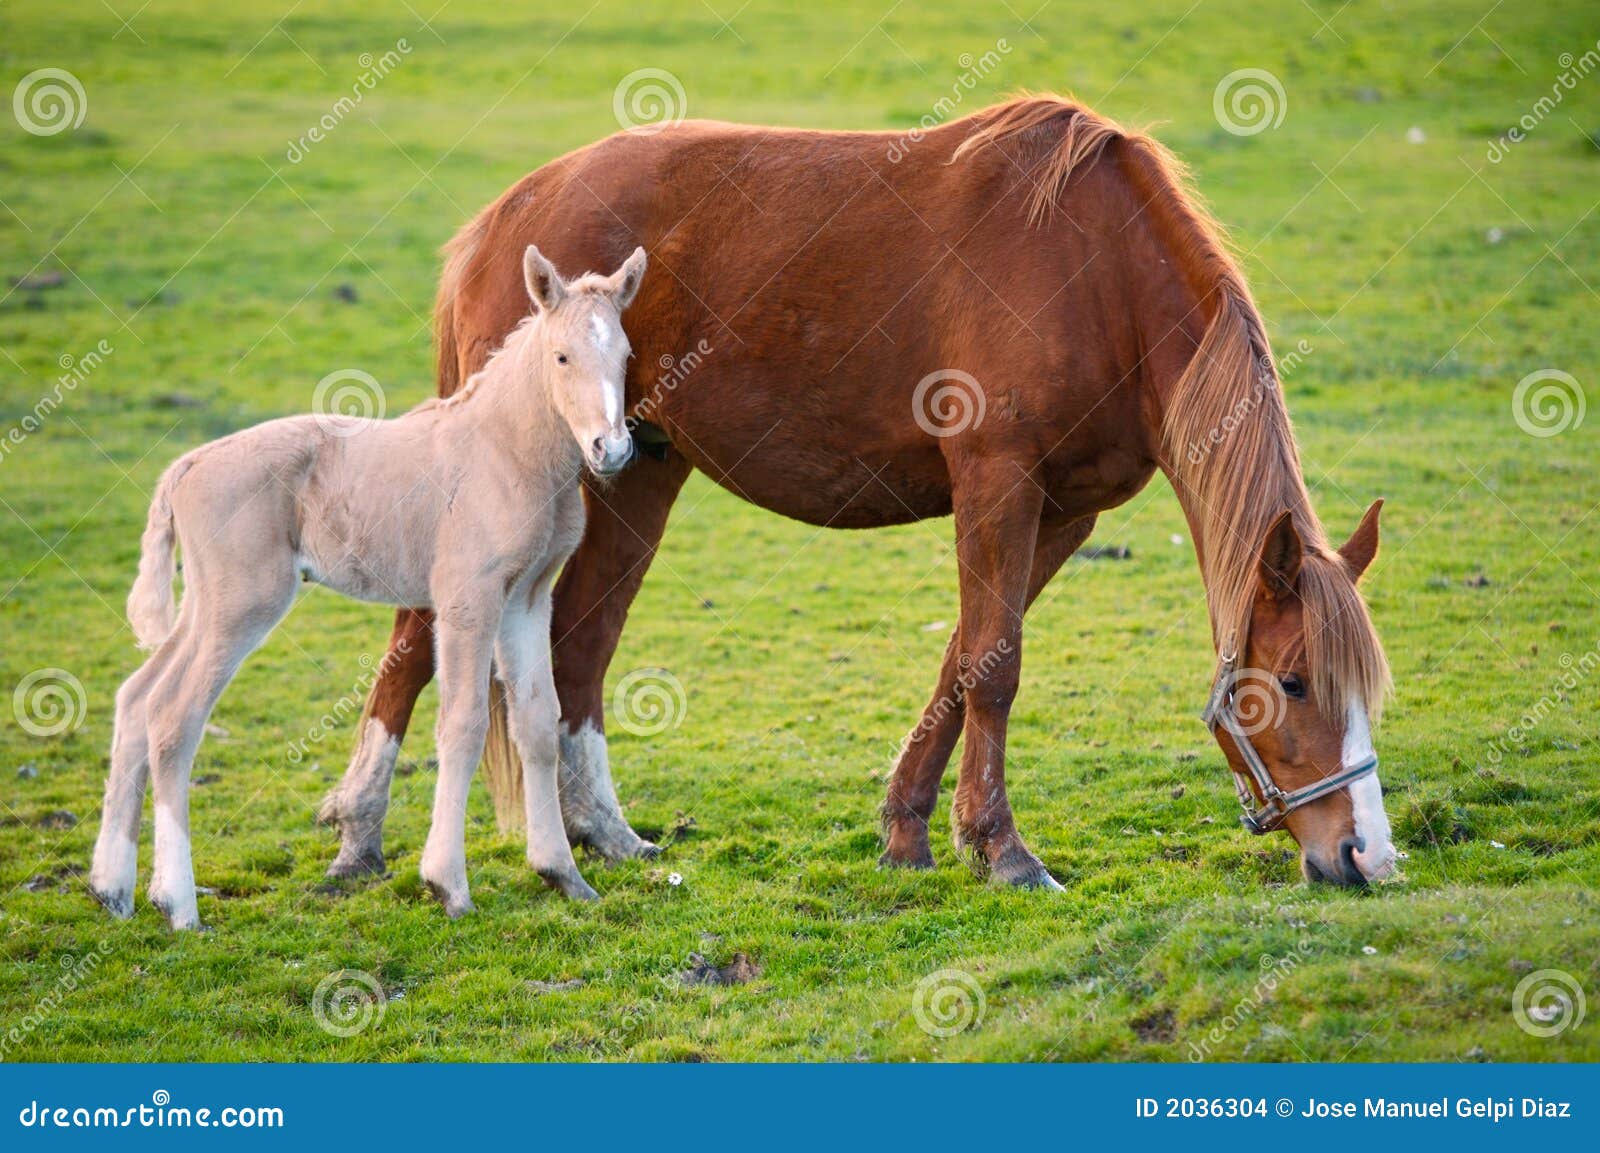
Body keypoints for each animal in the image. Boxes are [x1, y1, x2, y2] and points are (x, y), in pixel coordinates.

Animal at [89, 246, 649, 928]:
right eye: (562, 356)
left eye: (624, 354)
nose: (610, 449)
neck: (506, 452)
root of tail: (184, 468)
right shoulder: (467, 597)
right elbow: (462, 725)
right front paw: (448, 885)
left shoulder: (526, 598)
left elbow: (538, 722)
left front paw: (563, 874)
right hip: (243, 604)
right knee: (174, 717)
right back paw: (179, 904)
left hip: (206, 603)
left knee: (135, 699)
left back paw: (113, 890)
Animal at [322, 95, 1397, 892]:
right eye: (1293, 682)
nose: (1367, 854)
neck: (1095, 268)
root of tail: (507, 217)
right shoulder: (997, 484)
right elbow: (995, 666)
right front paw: (1005, 850)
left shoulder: (1062, 511)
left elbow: (964, 659)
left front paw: (911, 830)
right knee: (415, 639)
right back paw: (360, 833)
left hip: (636, 479)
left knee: (580, 653)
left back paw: (604, 835)